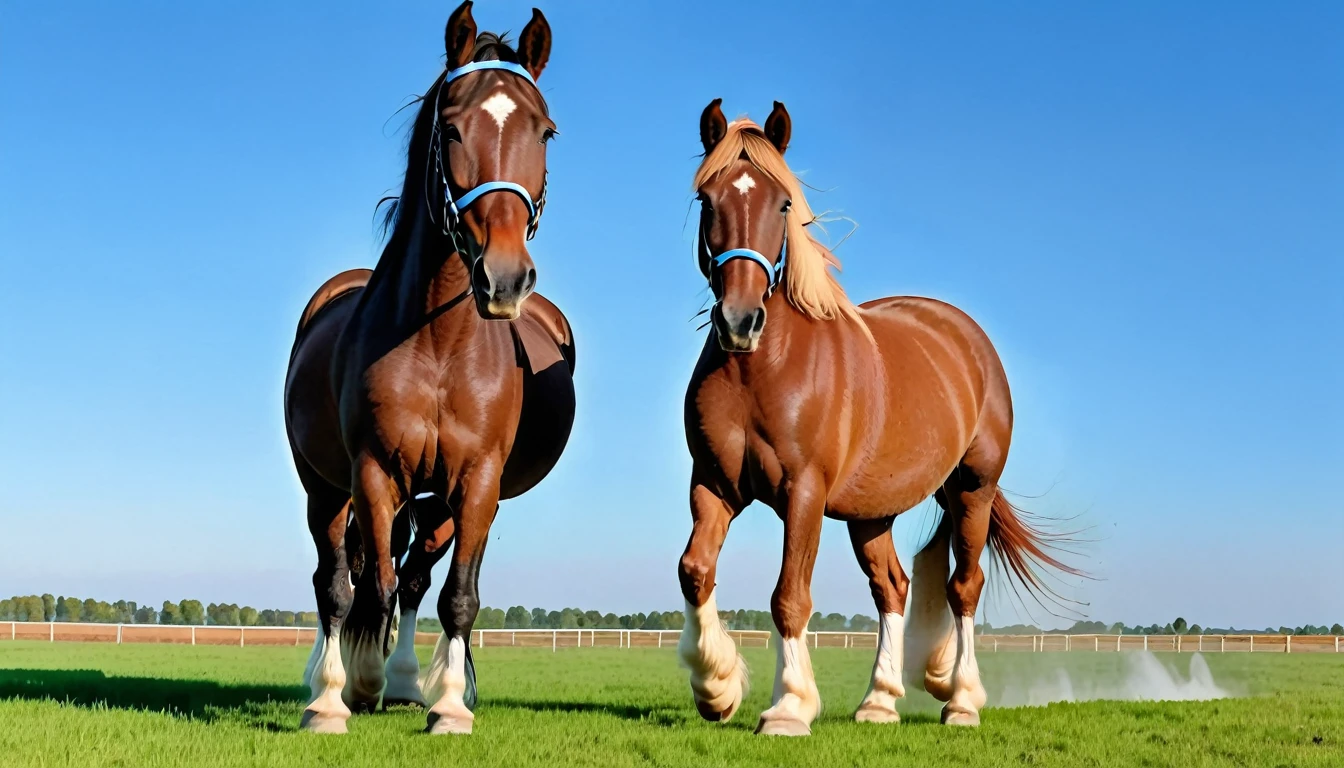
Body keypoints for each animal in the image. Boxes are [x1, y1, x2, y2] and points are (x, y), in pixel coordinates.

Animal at [283, 2, 575, 734]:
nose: (505, 276)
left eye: (545, 131)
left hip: (438, 502)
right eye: (452, 127)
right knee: (339, 578)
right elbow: (361, 587)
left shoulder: (476, 483)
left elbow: (456, 596)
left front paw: (446, 704)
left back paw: (412, 680)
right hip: (324, 486)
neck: (438, 346)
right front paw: (341, 695)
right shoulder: (371, 472)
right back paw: (334, 680)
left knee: (416, 579)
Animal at [676, 100, 1079, 736]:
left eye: (783, 203)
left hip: (972, 489)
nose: (740, 321)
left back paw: (961, 699)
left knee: (963, 587)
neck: (758, 372)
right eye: (707, 199)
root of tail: (968, 337)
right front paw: (715, 688)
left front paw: (789, 705)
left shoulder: (804, 493)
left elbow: (789, 595)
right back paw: (880, 701)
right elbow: (694, 569)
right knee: (893, 586)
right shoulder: (713, 484)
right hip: (872, 512)